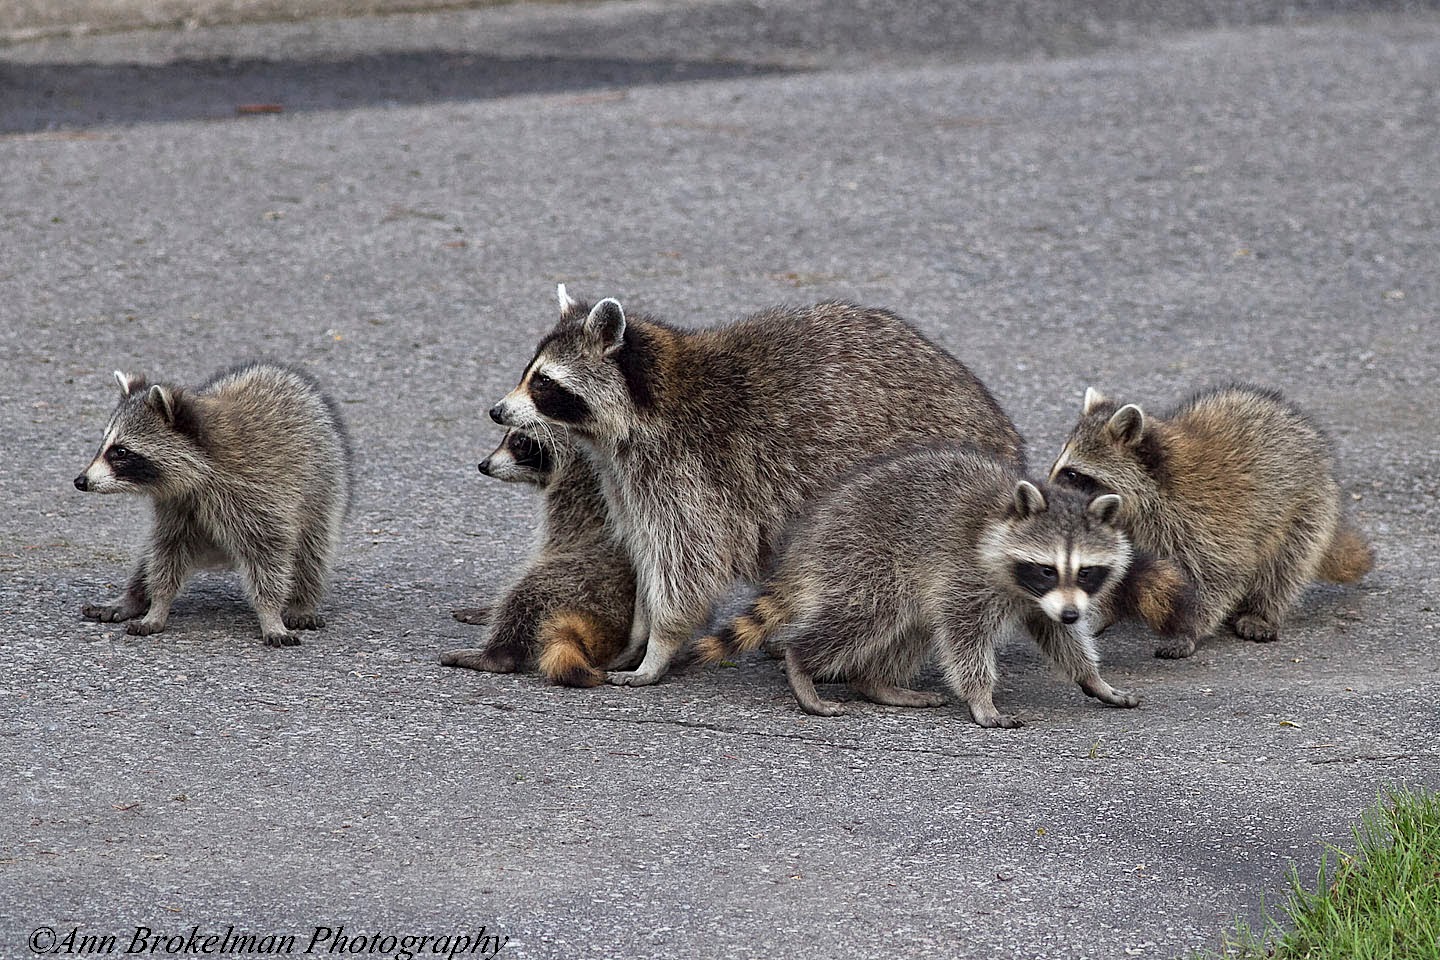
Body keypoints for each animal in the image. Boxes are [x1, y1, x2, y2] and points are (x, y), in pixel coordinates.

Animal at [74, 362, 352, 647]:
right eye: (103, 446)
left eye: (120, 452)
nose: (80, 481)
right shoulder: (176, 505)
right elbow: (166, 553)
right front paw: (157, 605)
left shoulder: (259, 495)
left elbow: (269, 558)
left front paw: (270, 613)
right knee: (148, 554)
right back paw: (133, 596)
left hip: (323, 492)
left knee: (311, 551)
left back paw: (302, 601)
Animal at [440, 427, 635, 688]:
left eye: (521, 440)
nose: (483, 465)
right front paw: (487, 609)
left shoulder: (577, 492)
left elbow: (555, 544)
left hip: (592, 581)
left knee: (532, 588)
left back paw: (497, 654)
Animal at [489, 285, 1025, 687]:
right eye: (528, 372)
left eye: (543, 383)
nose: (496, 410)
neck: (648, 400)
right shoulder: (625, 480)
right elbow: (646, 555)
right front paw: (637, 632)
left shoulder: (687, 472)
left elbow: (687, 566)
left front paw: (659, 644)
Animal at [697, 446, 1139, 728]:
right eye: (1047, 570)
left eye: (1085, 572)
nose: (1073, 613)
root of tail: (804, 544)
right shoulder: (967, 574)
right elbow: (963, 638)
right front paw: (981, 698)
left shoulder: (1041, 602)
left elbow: (1059, 635)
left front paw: (1093, 679)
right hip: (861, 558)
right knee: (869, 615)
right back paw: (802, 663)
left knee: (912, 628)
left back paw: (875, 682)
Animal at [1049, 384, 1374, 658]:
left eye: (1072, 474)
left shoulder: (1204, 521)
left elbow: (1219, 577)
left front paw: (1188, 628)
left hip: (1308, 507)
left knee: (1285, 564)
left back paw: (1263, 611)